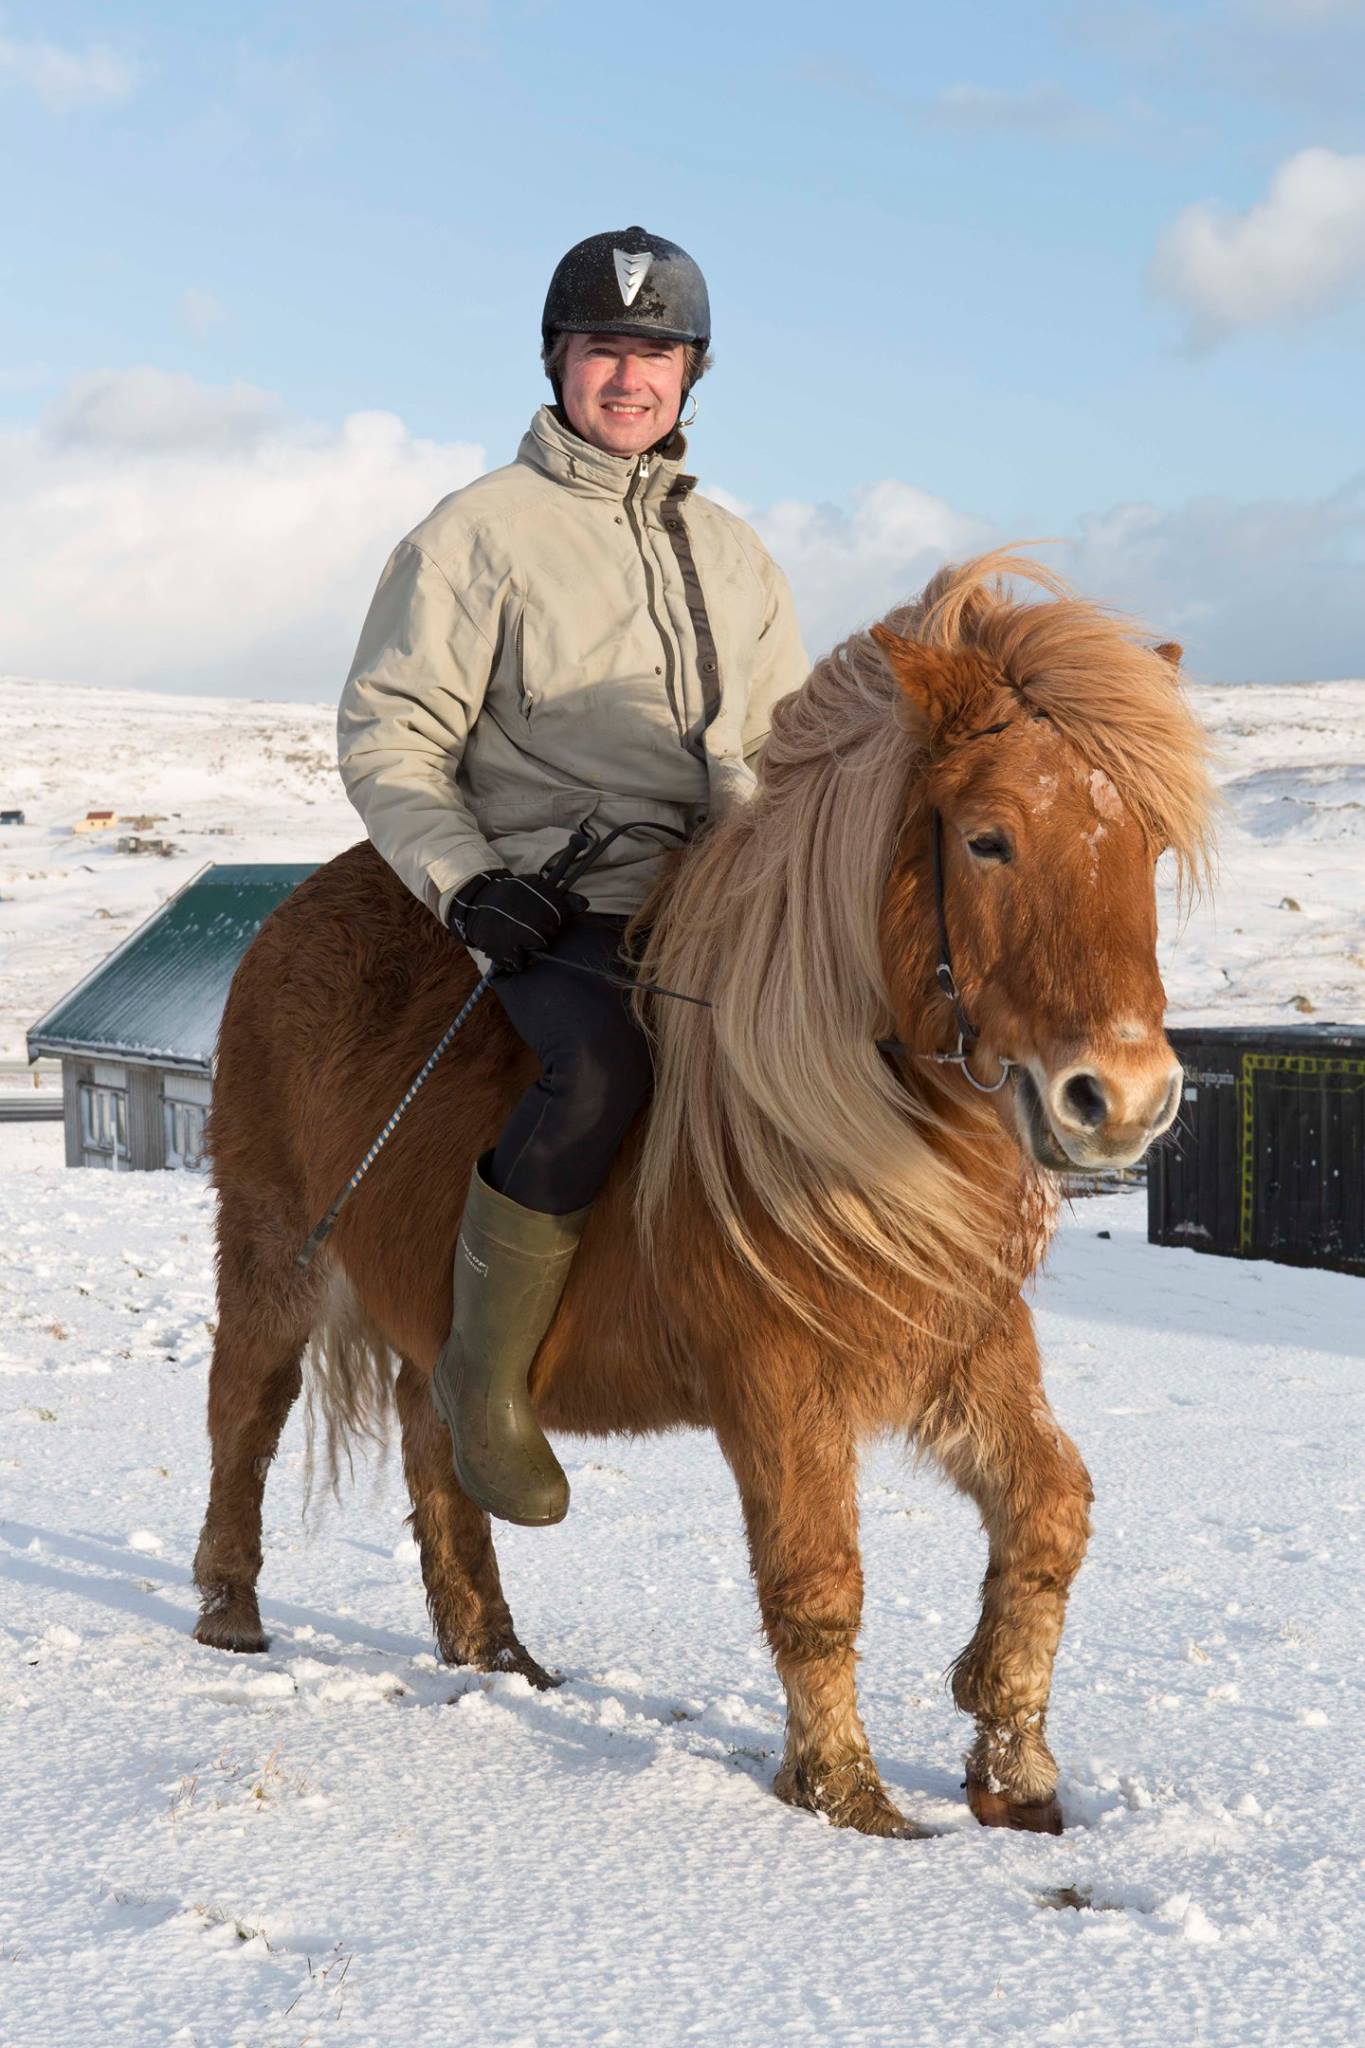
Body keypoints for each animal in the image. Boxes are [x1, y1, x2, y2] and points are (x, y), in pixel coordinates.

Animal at [192, 550, 1213, 1839]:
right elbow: (816, 1577)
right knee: (245, 1413)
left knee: (440, 1446)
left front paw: (1016, 1770)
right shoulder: (776, 1382)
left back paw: (496, 1653)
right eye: (988, 840)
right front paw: (846, 1795)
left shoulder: (963, 1345)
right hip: (273, 1245)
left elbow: (1051, 1511)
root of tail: (285, 918)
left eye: (1148, 845)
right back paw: (230, 1613)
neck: (835, 1111)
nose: (1120, 1098)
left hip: (426, 1312)